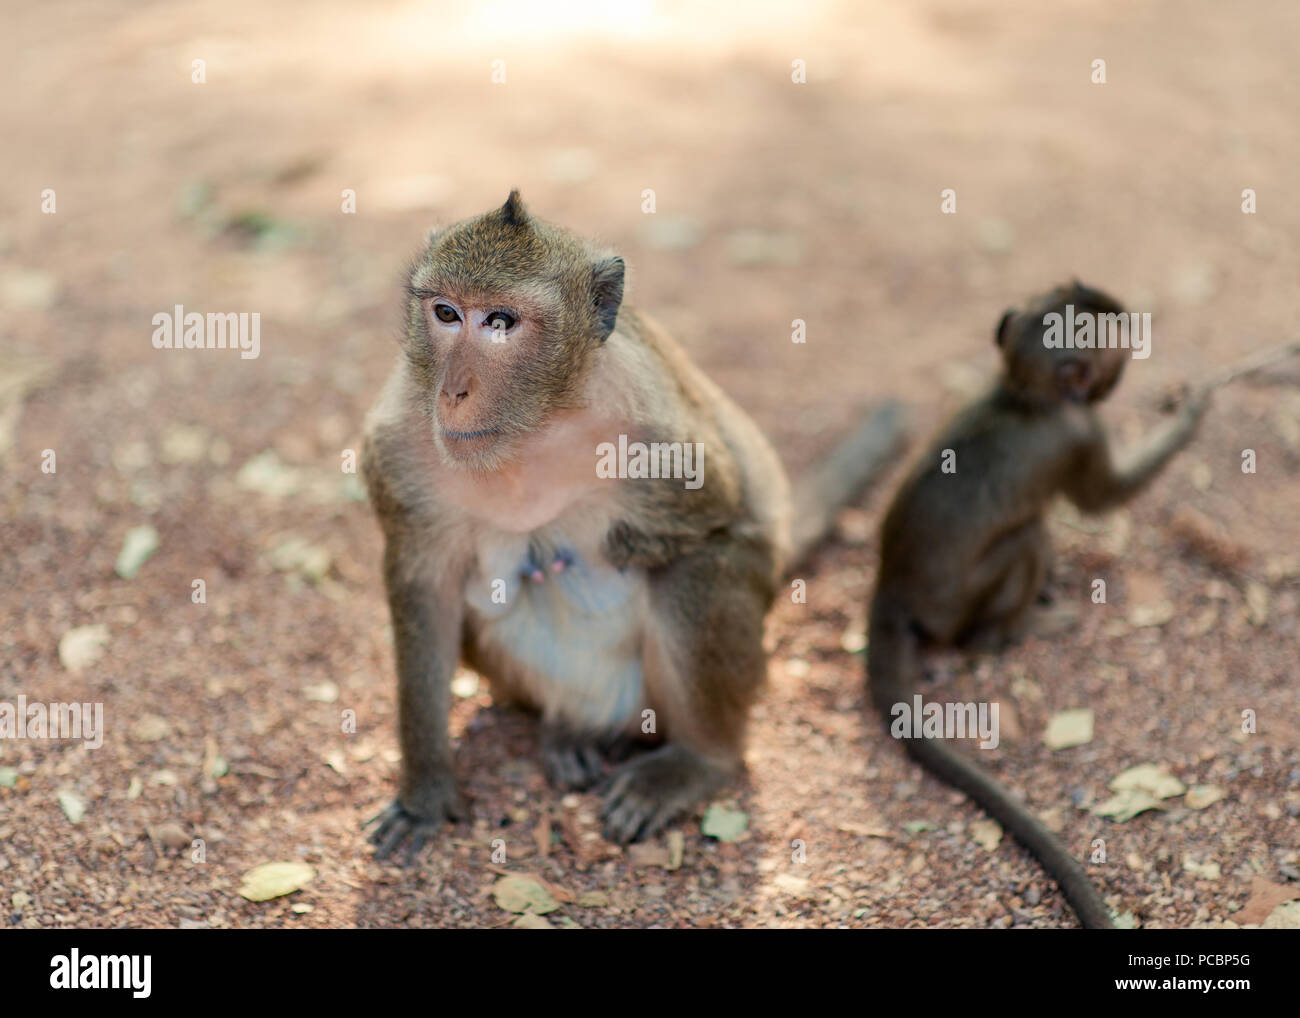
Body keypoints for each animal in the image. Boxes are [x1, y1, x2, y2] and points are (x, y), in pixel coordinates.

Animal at [362, 190, 905, 861]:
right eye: (445, 312)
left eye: (500, 322)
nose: (454, 392)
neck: (535, 426)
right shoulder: (398, 446)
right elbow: (426, 593)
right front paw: (425, 793)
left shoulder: (654, 428)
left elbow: (720, 514)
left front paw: (628, 541)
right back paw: (570, 731)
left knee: (700, 572)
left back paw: (699, 761)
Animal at [867, 281, 1211, 929]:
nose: (1130, 354)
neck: (1024, 395)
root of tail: (890, 584)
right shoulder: (1081, 430)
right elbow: (1104, 499)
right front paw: (1192, 415)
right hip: (956, 609)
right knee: (1026, 538)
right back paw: (1022, 625)